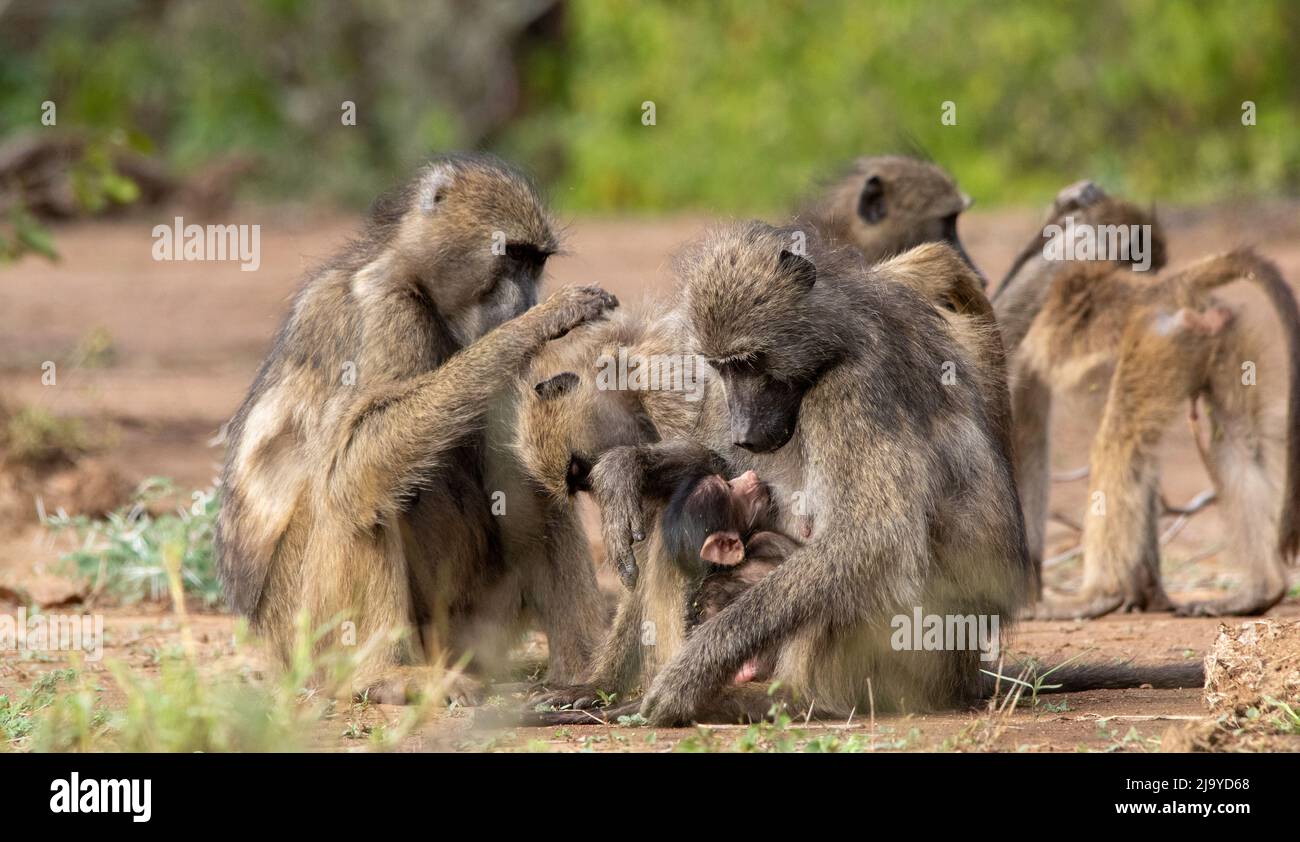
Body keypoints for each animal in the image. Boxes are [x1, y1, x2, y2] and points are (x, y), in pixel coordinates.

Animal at [215, 153, 618, 704]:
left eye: (535, 262)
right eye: (510, 256)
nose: (524, 301)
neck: (416, 281)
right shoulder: (388, 312)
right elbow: (352, 457)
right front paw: (536, 325)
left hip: (469, 626)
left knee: (530, 488)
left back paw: (583, 676)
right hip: (304, 636)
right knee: (353, 495)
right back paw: (381, 676)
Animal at [993, 181, 1300, 618]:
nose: (1148, 272)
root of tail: (1169, 291)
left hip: (1157, 344)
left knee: (1119, 447)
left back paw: (1099, 595)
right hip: (1218, 348)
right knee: (1233, 441)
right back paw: (1259, 592)